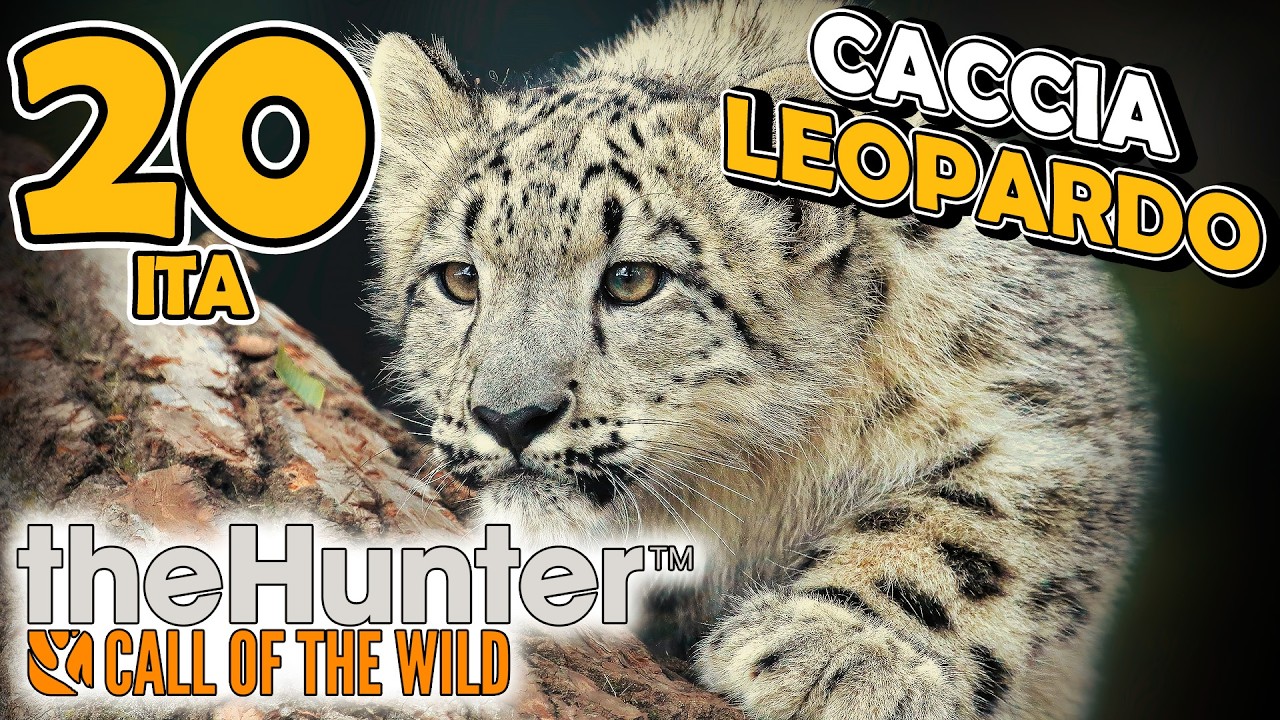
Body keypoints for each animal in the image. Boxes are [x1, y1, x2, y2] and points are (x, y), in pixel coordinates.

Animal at [355, 2, 1150, 718]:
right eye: (459, 279)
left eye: (632, 279)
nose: (510, 416)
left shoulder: (1046, 415)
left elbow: (968, 532)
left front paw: (840, 654)